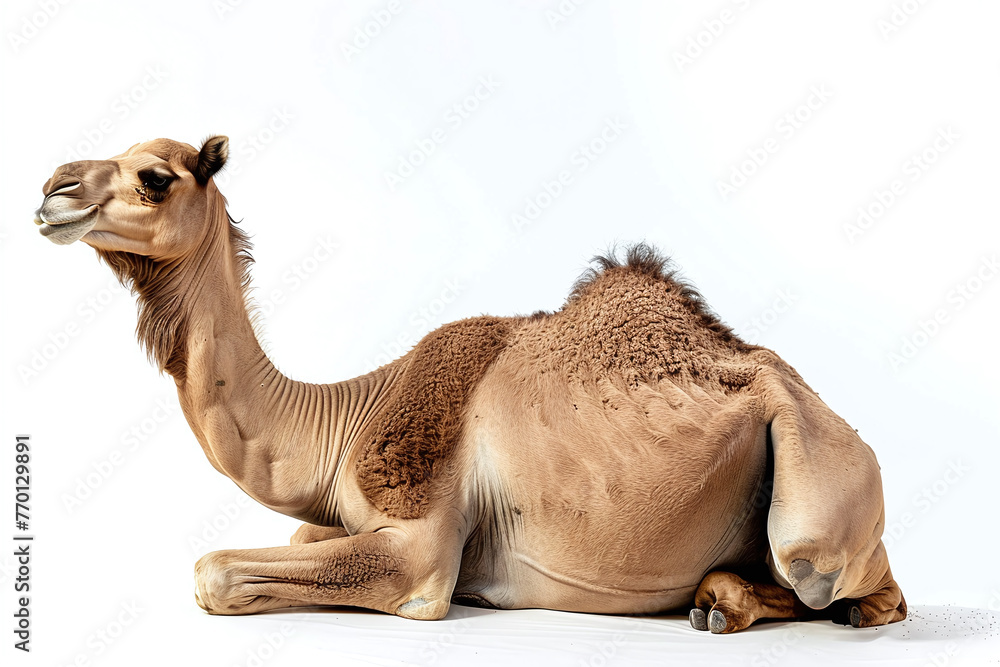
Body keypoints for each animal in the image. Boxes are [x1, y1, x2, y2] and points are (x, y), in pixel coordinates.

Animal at [34, 136, 906, 634]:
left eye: (153, 177)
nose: (50, 190)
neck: (345, 416)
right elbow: (296, 537)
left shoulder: (419, 549)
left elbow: (213, 570)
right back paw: (715, 597)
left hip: (814, 517)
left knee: (857, 590)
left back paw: (742, 604)